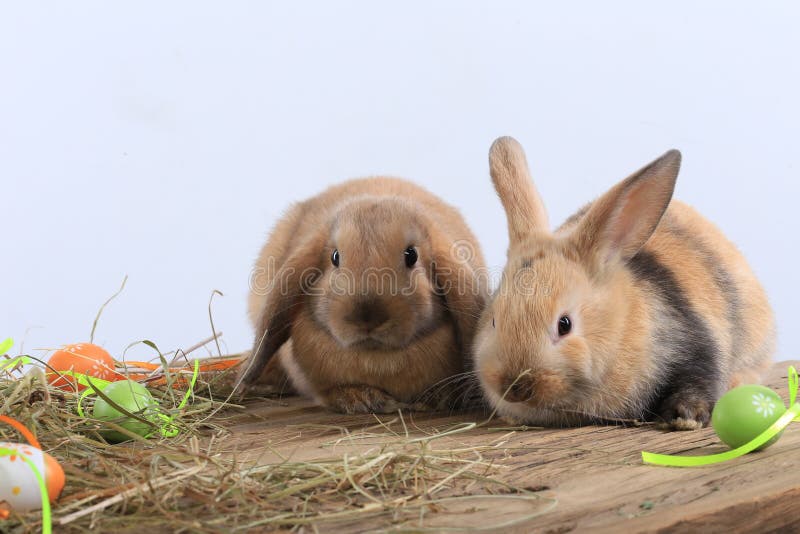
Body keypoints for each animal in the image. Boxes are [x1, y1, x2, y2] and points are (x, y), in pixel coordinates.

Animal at [238, 177, 489, 414]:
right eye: (335, 257)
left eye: (411, 255)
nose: (367, 318)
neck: (377, 357)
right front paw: (361, 398)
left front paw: (437, 397)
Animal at [473, 137, 775, 430]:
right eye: (494, 321)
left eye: (564, 324)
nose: (514, 387)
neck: (621, 327)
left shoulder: (697, 347)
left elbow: (697, 380)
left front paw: (684, 417)